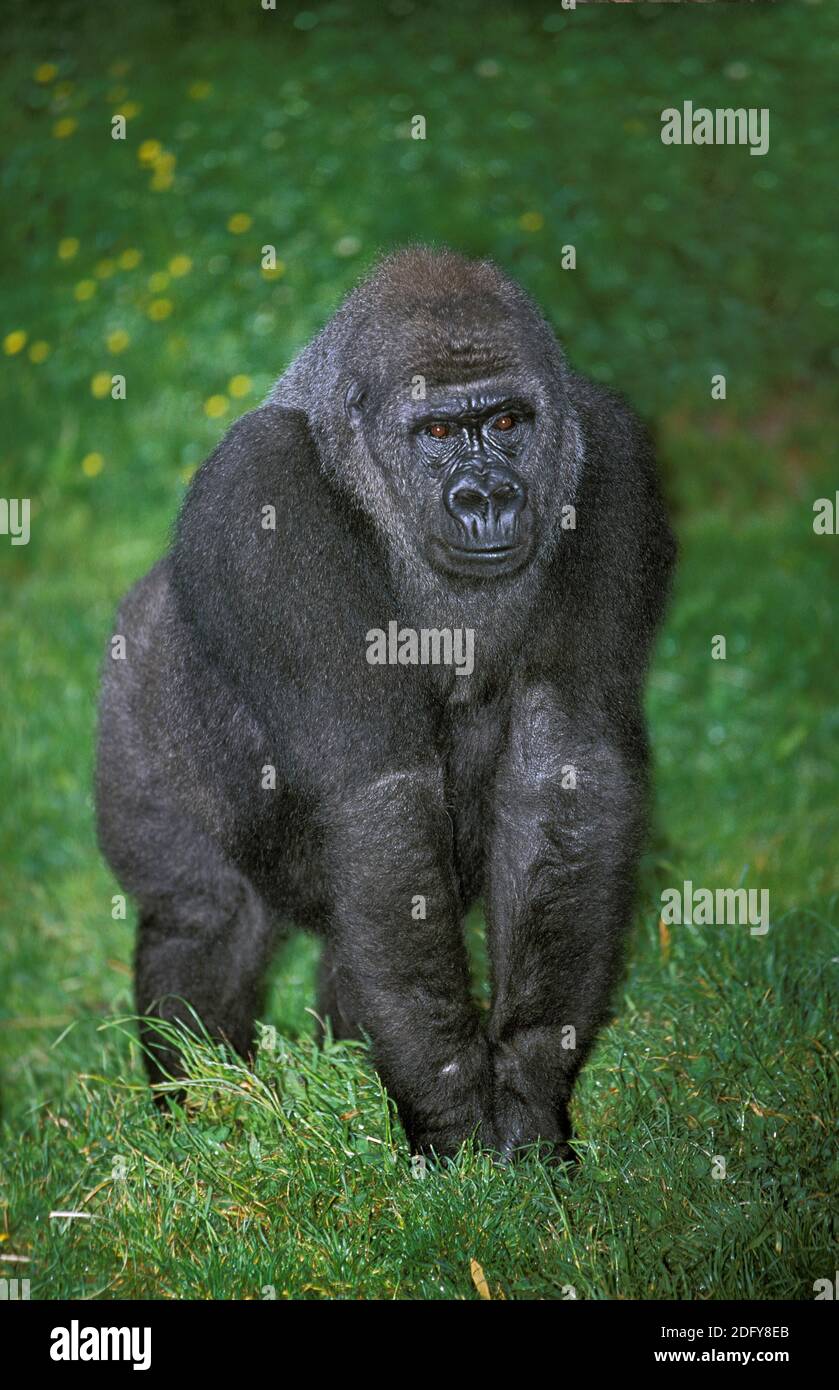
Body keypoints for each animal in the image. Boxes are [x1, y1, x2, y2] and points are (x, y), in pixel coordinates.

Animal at [95, 245, 676, 1161]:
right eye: (436, 433)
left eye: (505, 422)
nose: (486, 498)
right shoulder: (261, 485)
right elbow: (376, 789)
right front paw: (451, 1109)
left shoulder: (608, 449)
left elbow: (564, 762)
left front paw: (526, 1087)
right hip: (134, 697)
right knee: (203, 917)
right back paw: (203, 1117)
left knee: (359, 931)